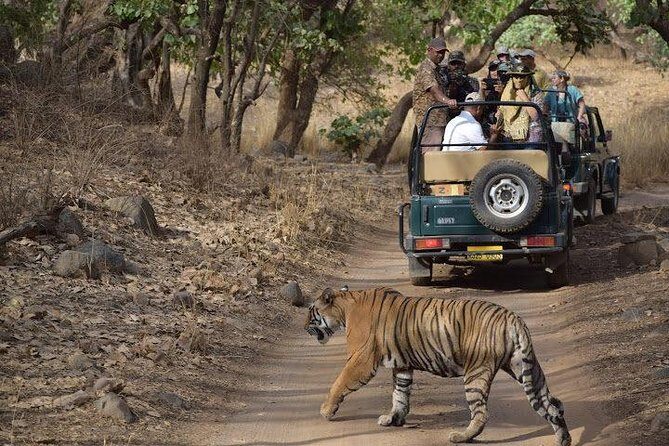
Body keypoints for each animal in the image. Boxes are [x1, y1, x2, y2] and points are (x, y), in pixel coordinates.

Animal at [305, 287, 571, 446]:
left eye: (311, 312)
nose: (305, 327)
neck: (345, 307)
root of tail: (513, 317)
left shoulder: (361, 360)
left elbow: (339, 383)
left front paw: (326, 410)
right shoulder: (403, 365)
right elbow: (399, 394)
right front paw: (393, 418)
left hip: (476, 372)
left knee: (481, 413)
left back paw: (460, 437)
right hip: (525, 368)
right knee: (553, 405)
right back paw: (563, 439)